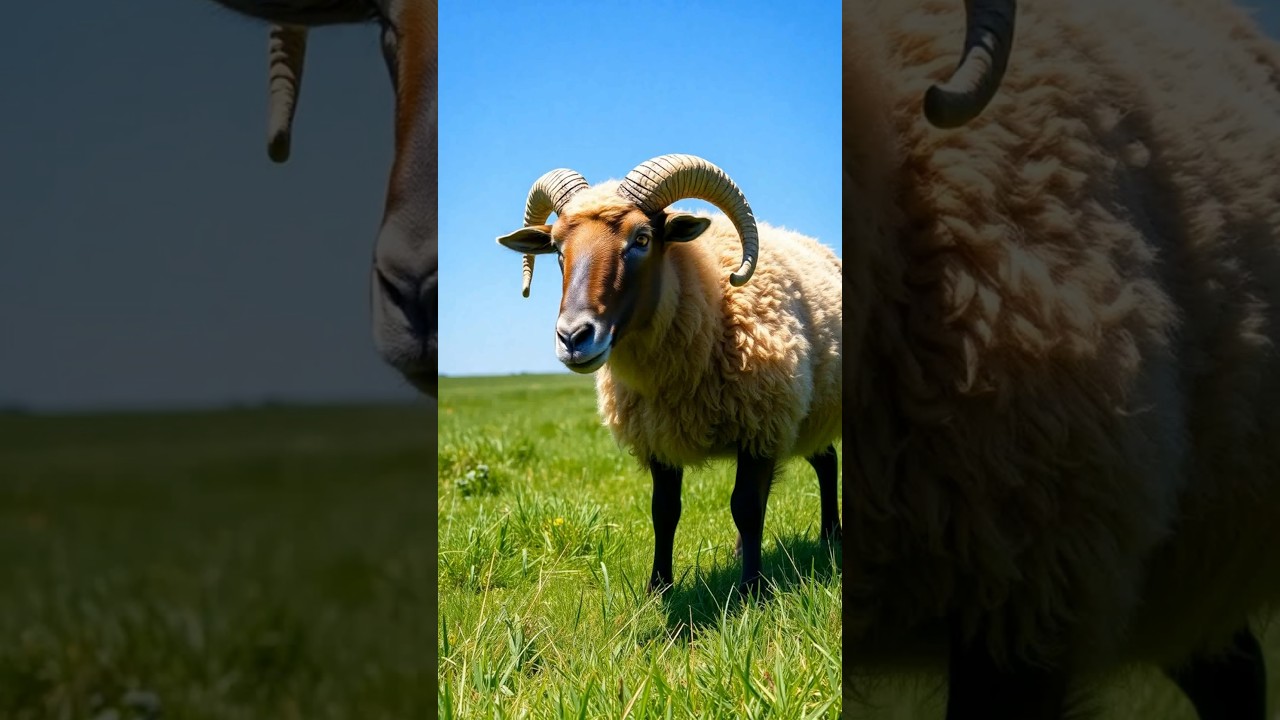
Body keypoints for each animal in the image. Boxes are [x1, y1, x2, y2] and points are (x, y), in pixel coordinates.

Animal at [495, 154, 843, 596]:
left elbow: (746, 508)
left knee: (823, 467)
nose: (573, 337)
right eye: (556, 248)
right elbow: (664, 511)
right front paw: (658, 587)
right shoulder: (657, 435)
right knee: (825, 459)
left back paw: (831, 537)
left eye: (642, 239)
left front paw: (752, 589)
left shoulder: (761, 425)